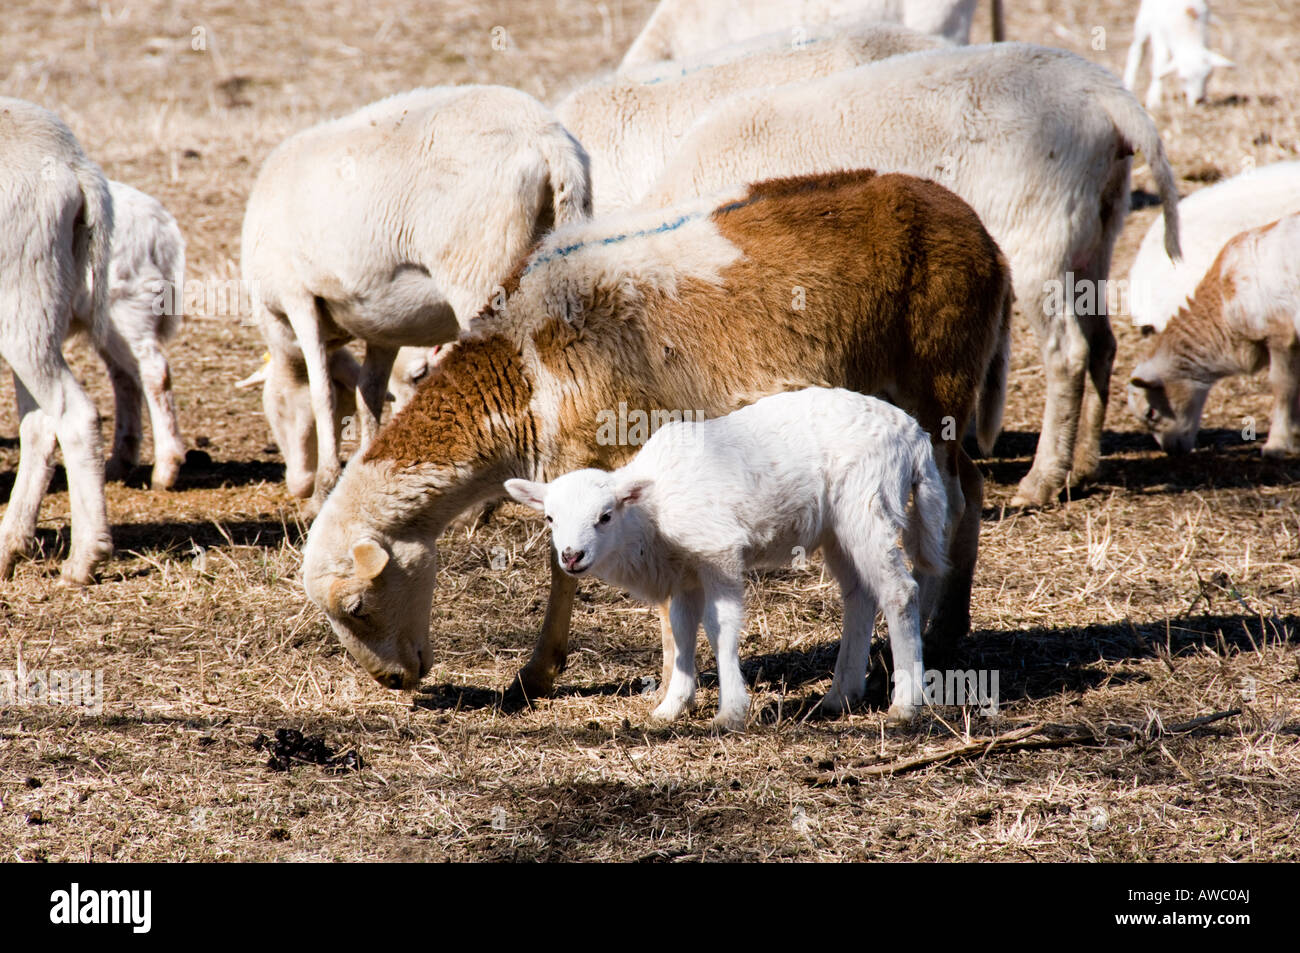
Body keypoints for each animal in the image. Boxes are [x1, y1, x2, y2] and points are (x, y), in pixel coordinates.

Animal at [240, 86, 591, 509]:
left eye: (274, 412)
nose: (297, 485)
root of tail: (548, 141)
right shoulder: (382, 326)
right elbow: (369, 394)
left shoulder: (298, 296)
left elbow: (322, 394)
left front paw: (323, 489)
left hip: (479, 270)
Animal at [504, 387, 949, 729]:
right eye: (549, 517)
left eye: (605, 516)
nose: (571, 556)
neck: (650, 516)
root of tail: (913, 433)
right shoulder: (684, 573)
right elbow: (682, 631)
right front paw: (672, 706)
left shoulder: (717, 550)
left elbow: (720, 627)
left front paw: (731, 712)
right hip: (837, 525)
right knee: (860, 593)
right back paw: (840, 695)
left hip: (867, 499)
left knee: (899, 591)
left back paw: (905, 703)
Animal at [643, 41, 1182, 508]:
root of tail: (1108, 95)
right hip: (1097, 236)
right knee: (1103, 344)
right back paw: (1084, 465)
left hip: (1042, 241)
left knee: (1068, 353)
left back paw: (1043, 479)